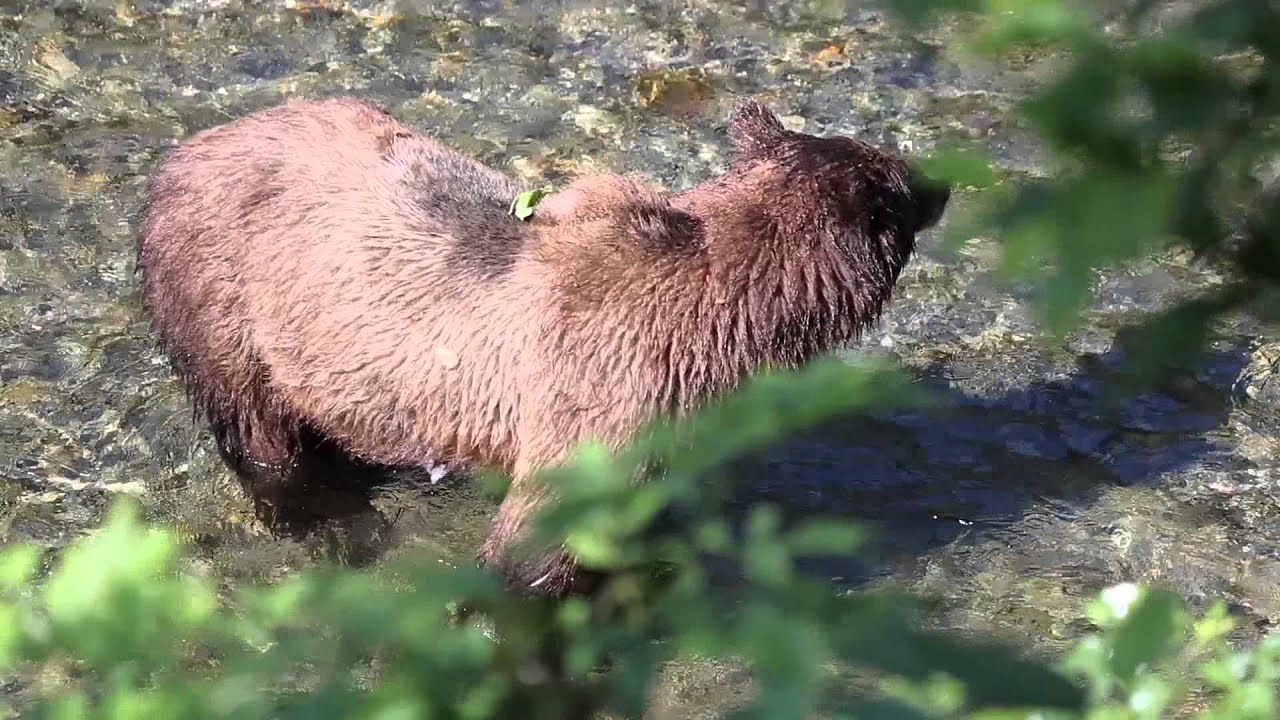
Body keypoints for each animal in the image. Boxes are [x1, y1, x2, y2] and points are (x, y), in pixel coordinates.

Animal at [135, 96, 949, 596]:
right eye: (901, 179)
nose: (943, 180)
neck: (728, 317)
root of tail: (179, 152)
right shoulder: (601, 386)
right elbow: (534, 547)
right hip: (223, 295)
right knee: (260, 430)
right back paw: (336, 524)